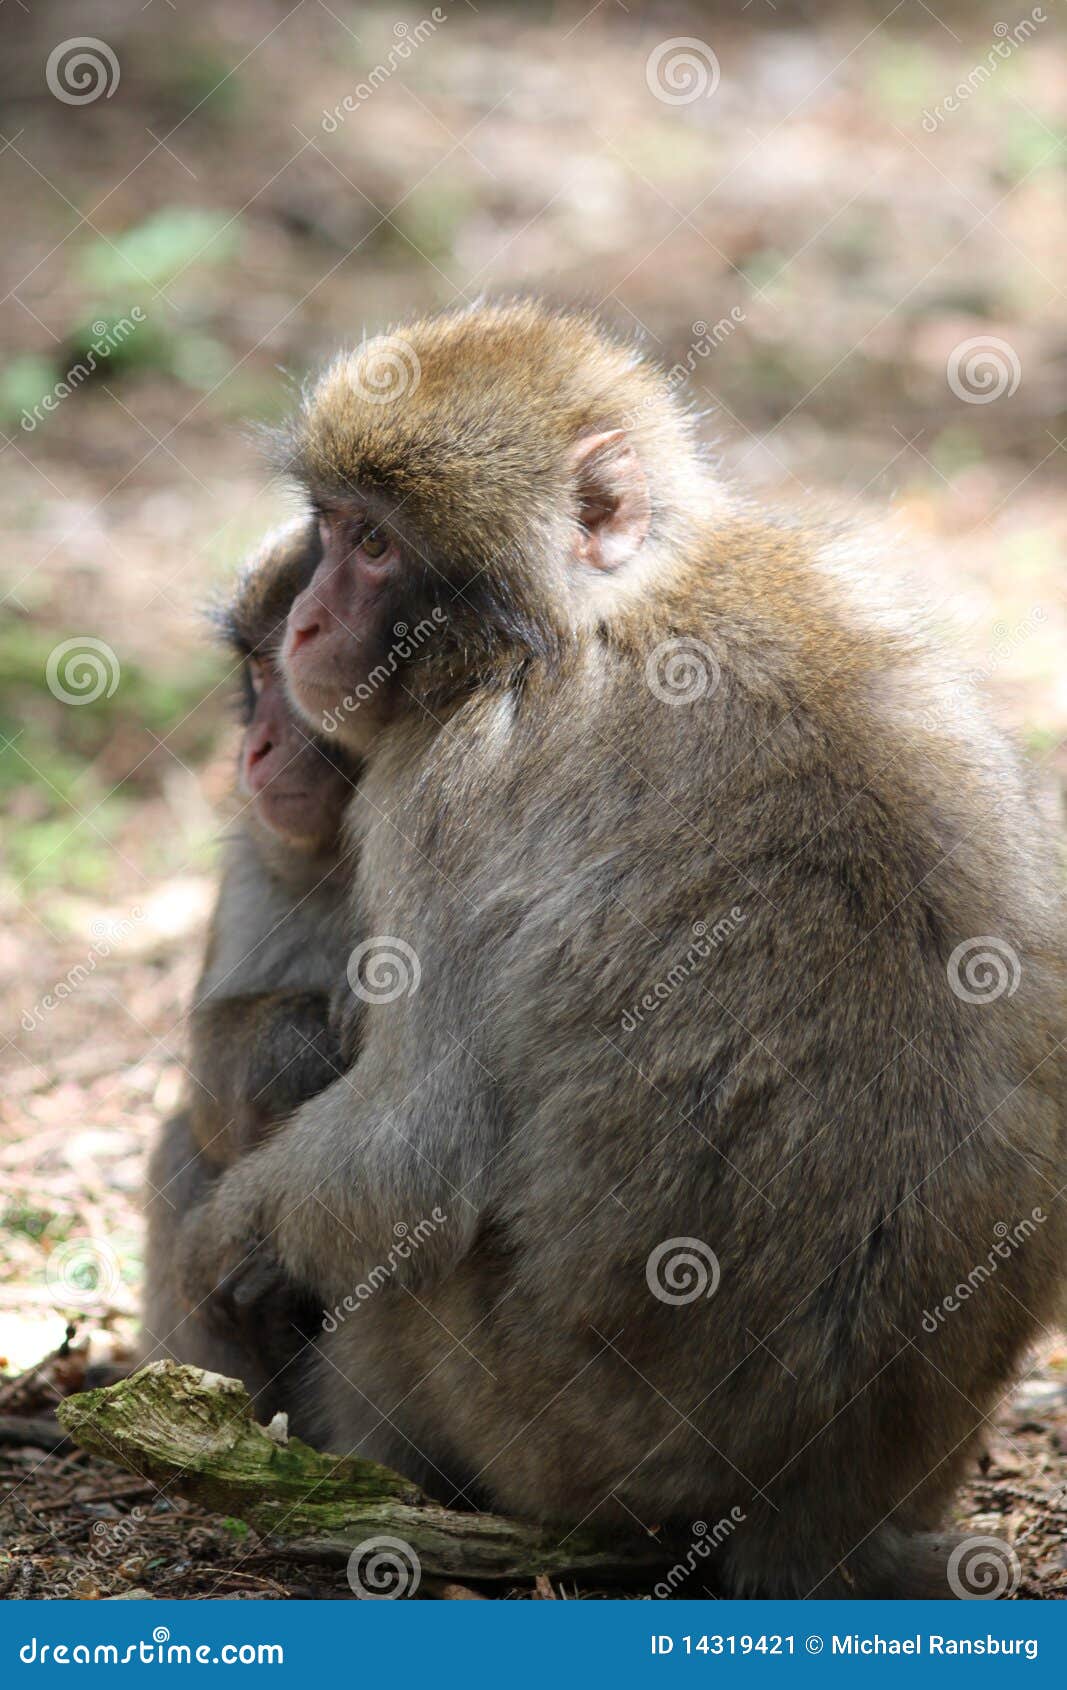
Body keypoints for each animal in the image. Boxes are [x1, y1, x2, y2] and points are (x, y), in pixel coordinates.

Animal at [176, 300, 1067, 1596]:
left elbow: (416, 1153)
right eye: (328, 527)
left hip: (528, 1418)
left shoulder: (442, 782)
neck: (593, 616)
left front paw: (225, 1240)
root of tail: (819, 1509)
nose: (306, 622)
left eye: (373, 545)